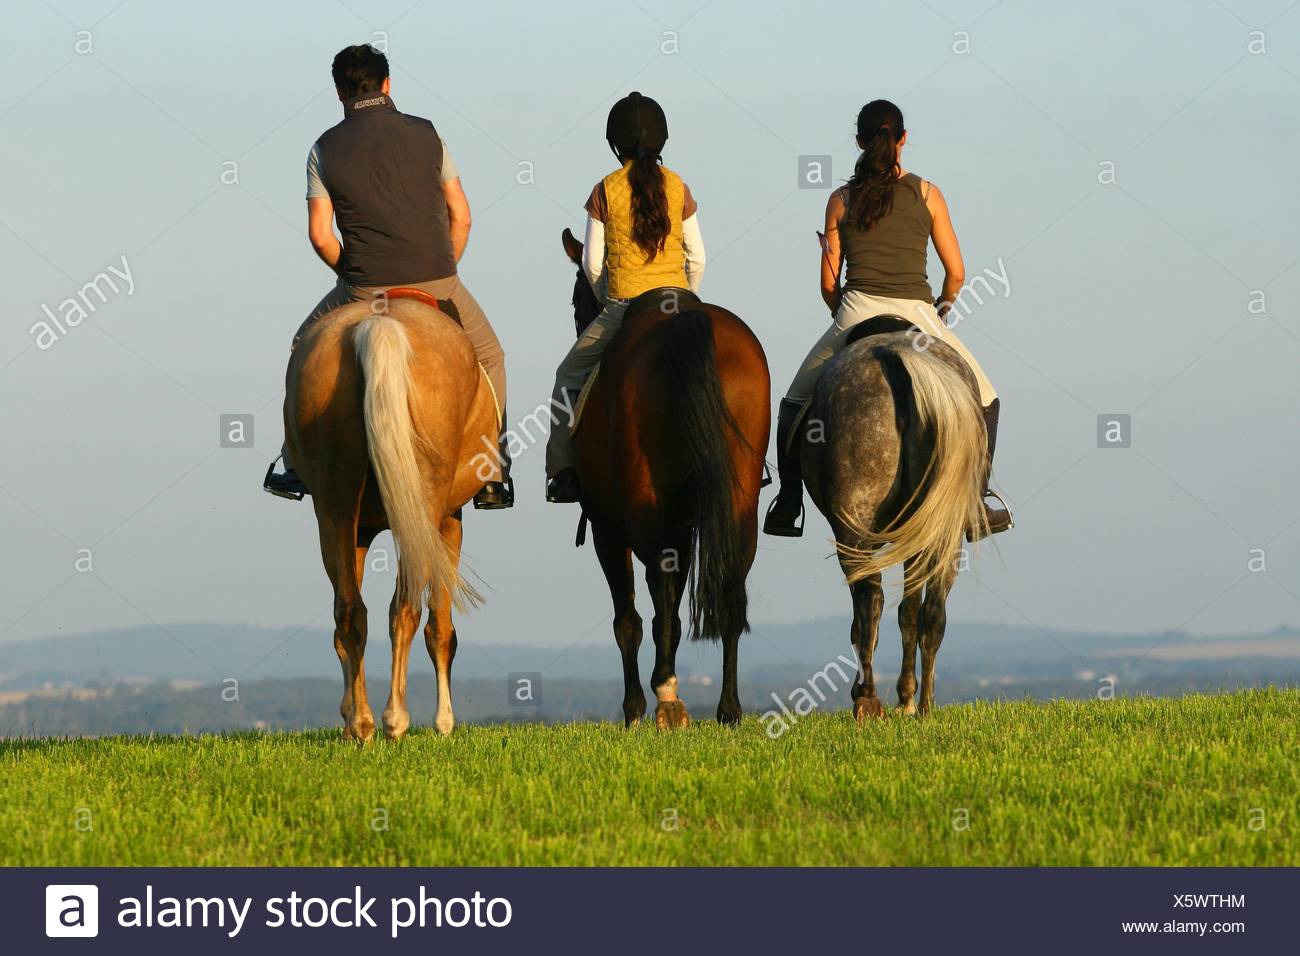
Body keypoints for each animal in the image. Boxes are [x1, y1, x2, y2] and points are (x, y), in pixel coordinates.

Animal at [283, 288, 496, 742]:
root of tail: (376, 324)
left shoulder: (358, 530)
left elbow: (346, 624)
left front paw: (348, 713)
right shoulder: (449, 522)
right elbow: (441, 627)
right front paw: (444, 722)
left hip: (334, 505)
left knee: (350, 610)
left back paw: (362, 724)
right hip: (425, 508)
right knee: (406, 609)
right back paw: (395, 718)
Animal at [559, 229, 771, 728]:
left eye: (576, 296)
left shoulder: (607, 526)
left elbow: (630, 618)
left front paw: (635, 706)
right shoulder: (687, 522)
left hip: (640, 508)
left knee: (657, 586)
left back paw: (666, 696)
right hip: (735, 505)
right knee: (729, 587)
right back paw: (728, 708)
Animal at [800, 318, 990, 720]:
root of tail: (895, 355)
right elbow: (910, 611)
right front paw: (906, 697)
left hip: (854, 525)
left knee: (870, 600)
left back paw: (867, 697)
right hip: (944, 531)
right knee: (932, 611)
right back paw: (924, 706)